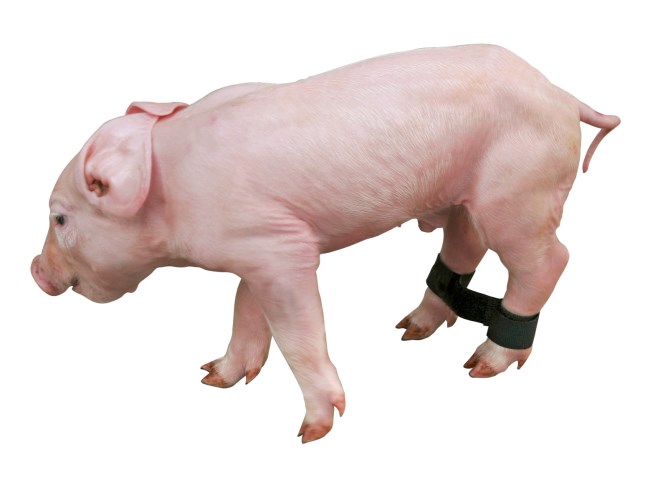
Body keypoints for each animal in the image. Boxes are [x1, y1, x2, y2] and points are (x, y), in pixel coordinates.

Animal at [31, 45, 619, 442]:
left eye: (60, 218)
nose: (35, 270)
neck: (173, 194)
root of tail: (561, 94)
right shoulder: (257, 250)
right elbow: (246, 309)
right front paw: (213, 379)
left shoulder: (284, 250)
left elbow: (295, 331)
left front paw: (310, 431)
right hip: (468, 198)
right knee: (463, 248)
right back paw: (409, 330)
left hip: (518, 193)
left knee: (550, 261)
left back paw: (482, 365)